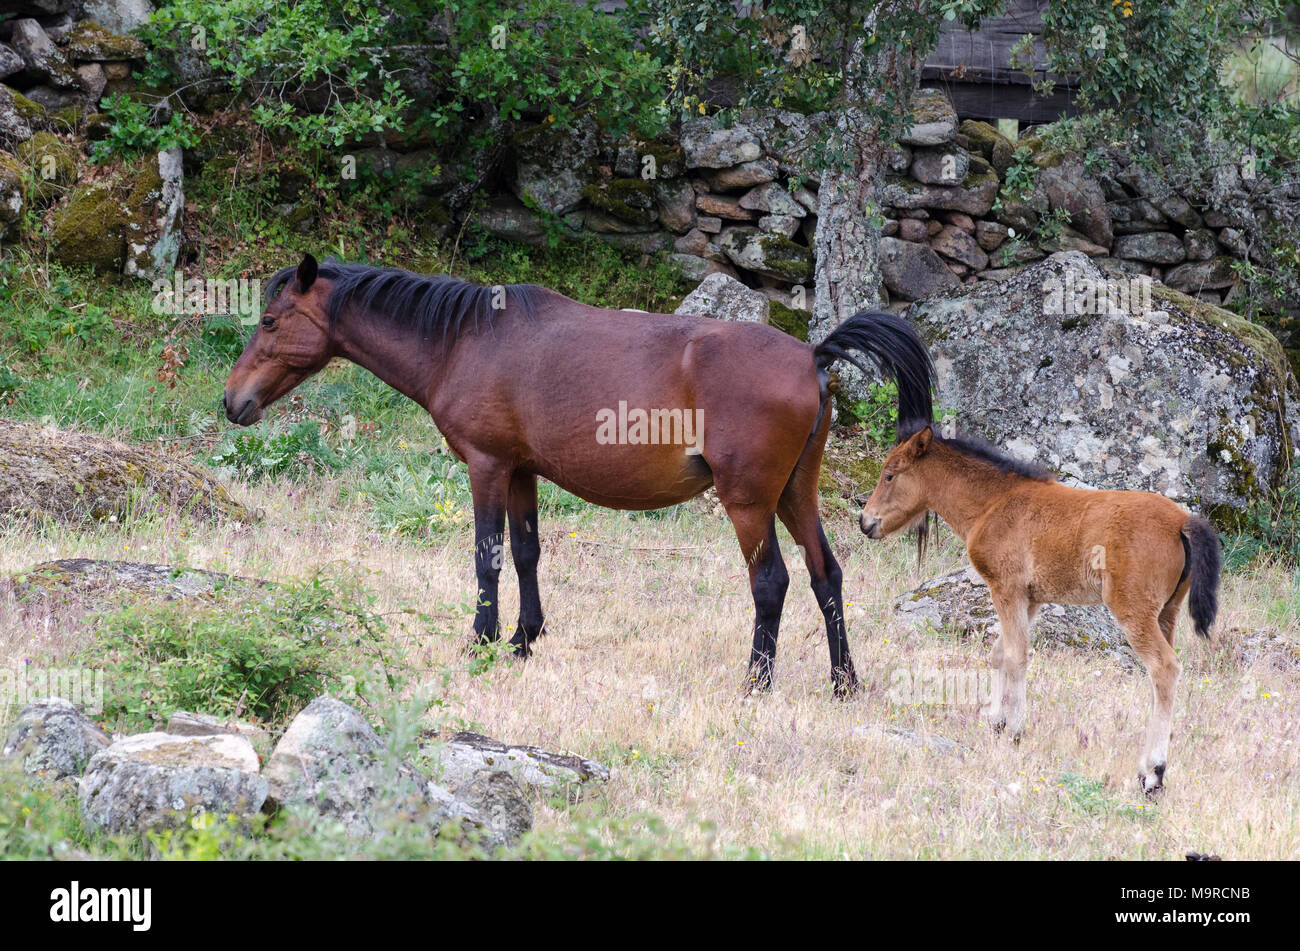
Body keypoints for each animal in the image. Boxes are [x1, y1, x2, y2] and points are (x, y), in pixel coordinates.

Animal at [223, 254, 936, 696]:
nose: (233, 401)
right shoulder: (520, 472)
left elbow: (486, 555)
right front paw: (523, 640)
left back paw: (755, 684)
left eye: (270, 320)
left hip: (750, 503)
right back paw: (845, 684)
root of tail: (814, 356)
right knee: (825, 576)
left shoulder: (487, 467)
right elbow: (526, 552)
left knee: (772, 584)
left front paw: (481, 642)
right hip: (795, 494)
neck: (466, 339)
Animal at [858, 423, 1222, 794]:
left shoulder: (1006, 588)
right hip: (1167, 612)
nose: (865, 521)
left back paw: (1155, 773)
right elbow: (999, 653)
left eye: (889, 475)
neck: (994, 504)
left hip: (1133, 610)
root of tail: (1182, 521)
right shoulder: (1030, 598)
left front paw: (1015, 731)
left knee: (1164, 668)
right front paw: (996, 722)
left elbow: (1016, 656)